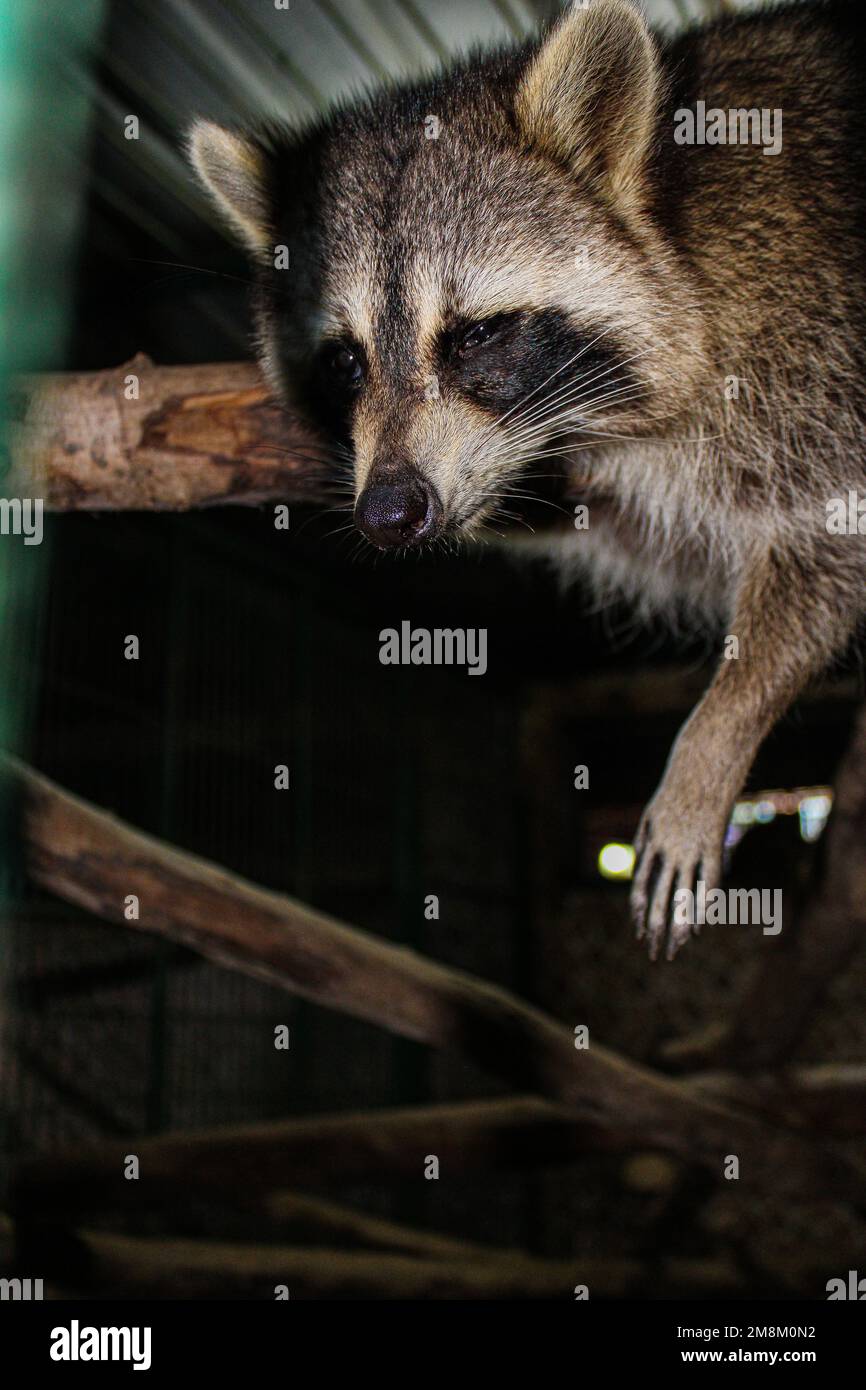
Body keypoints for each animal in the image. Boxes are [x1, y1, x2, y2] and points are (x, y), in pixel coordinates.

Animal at [189, 0, 866, 960]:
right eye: (345, 363)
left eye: (476, 335)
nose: (391, 513)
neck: (672, 216)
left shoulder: (809, 349)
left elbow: (827, 543)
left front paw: (717, 734)